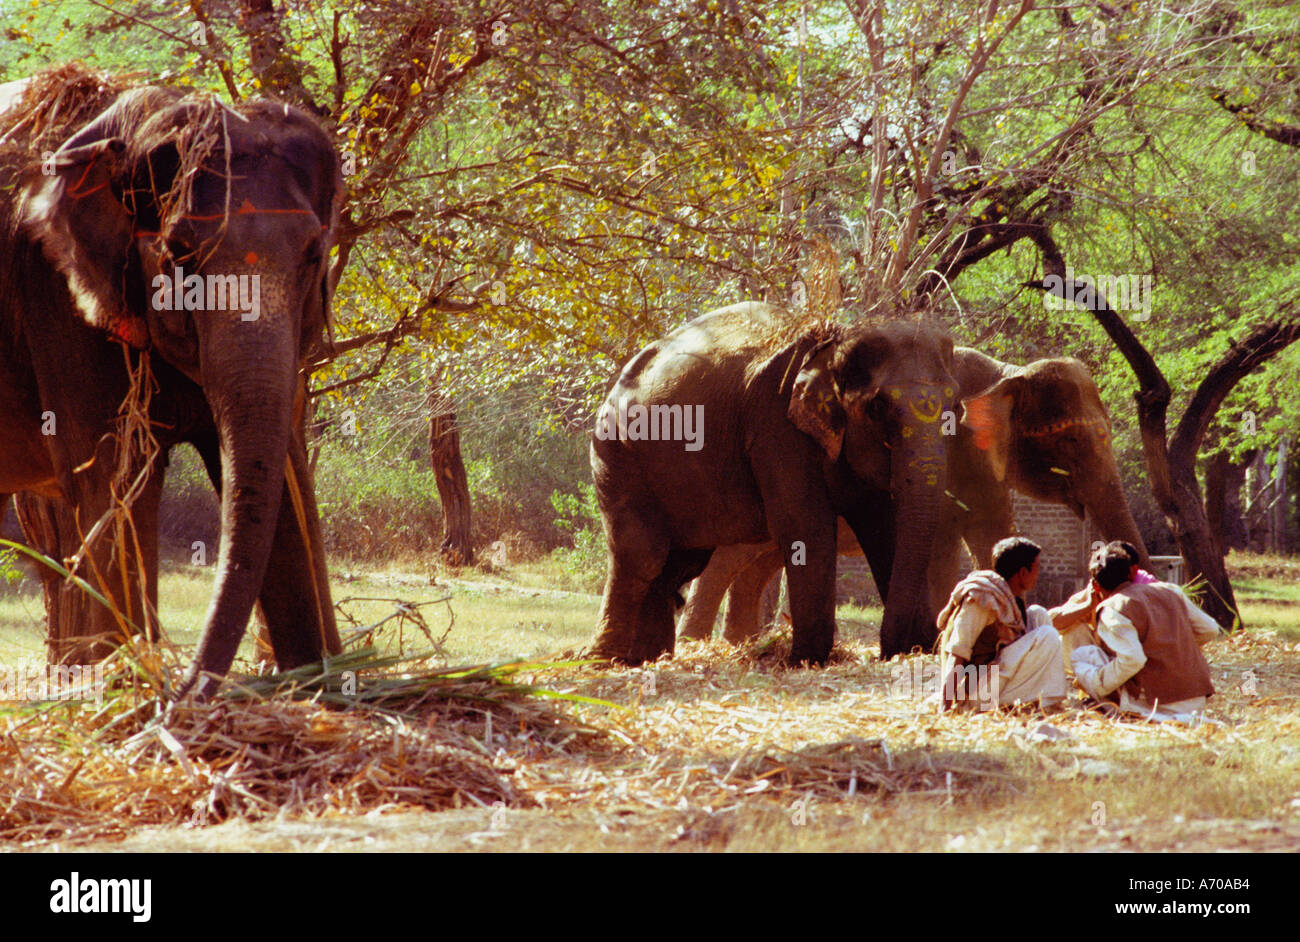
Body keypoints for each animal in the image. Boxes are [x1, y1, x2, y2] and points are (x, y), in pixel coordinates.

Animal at [0, 65, 343, 698]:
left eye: (313, 254)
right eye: (180, 252)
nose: (189, 693)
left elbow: (280, 470)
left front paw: (318, 684)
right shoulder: (57, 297)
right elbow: (118, 478)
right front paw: (126, 684)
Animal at [588, 301, 958, 665]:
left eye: (955, 406)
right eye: (877, 406)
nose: (901, 648)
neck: (834, 344)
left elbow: (882, 526)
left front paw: (912, 649)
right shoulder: (775, 425)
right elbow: (807, 525)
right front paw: (805, 661)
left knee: (679, 562)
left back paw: (650, 658)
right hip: (615, 453)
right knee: (643, 554)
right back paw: (605, 659)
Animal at [677, 346, 1148, 643]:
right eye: (1070, 441)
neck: (1006, 374)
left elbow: (993, 533)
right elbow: (939, 542)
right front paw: (940, 635)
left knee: (760, 561)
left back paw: (739, 641)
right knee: (730, 559)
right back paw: (697, 642)